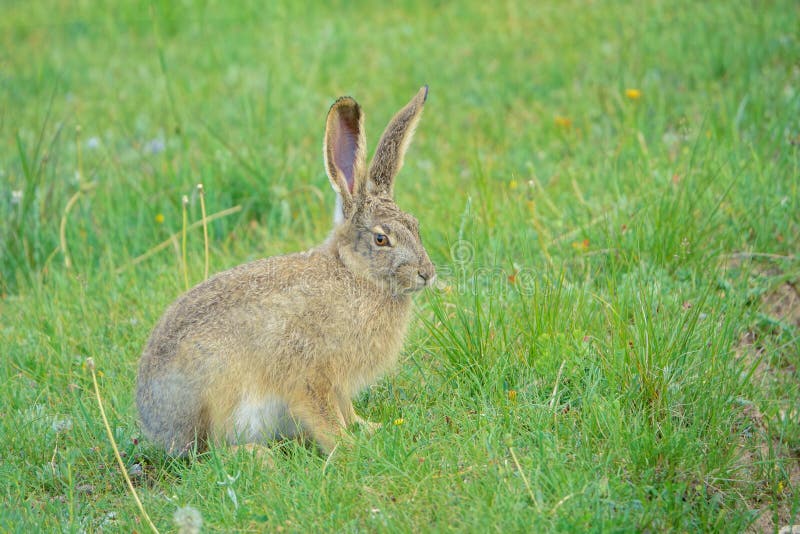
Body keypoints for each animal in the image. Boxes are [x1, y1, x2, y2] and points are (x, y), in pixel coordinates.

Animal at [136, 86, 435, 456]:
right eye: (381, 239)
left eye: (415, 225)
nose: (427, 273)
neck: (354, 274)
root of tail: (157, 425)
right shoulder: (310, 372)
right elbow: (324, 415)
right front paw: (347, 447)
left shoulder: (338, 384)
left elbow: (345, 410)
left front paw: (367, 428)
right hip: (217, 388)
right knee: (211, 450)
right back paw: (258, 455)